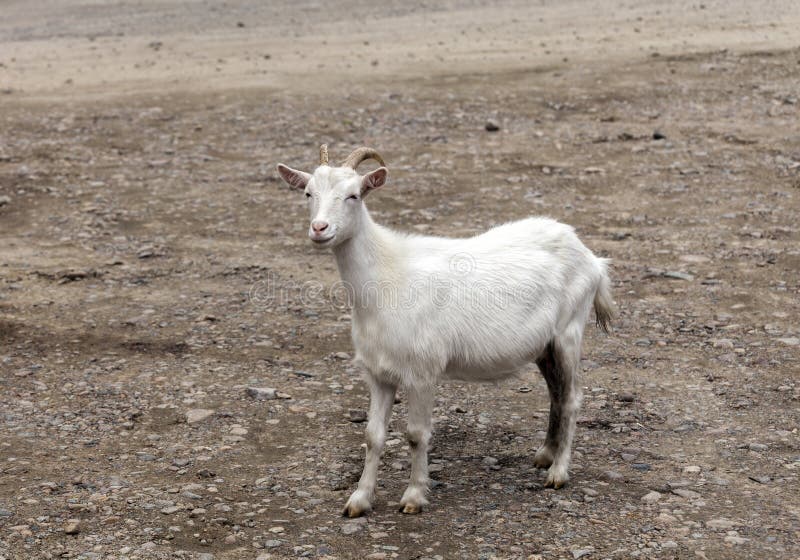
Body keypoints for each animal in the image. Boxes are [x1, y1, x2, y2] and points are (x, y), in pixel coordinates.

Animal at [278, 144, 616, 516]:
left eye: (354, 195)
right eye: (308, 193)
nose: (319, 228)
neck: (386, 277)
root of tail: (591, 257)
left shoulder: (422, 371)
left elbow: (416, 435)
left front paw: (413, 496)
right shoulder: (378, 373)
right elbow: (373, 435)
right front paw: (359, 499)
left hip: (569, 332)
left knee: (571, 398)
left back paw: (558, 472)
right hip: (545, 347)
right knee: (556, 393)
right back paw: (545, 454)